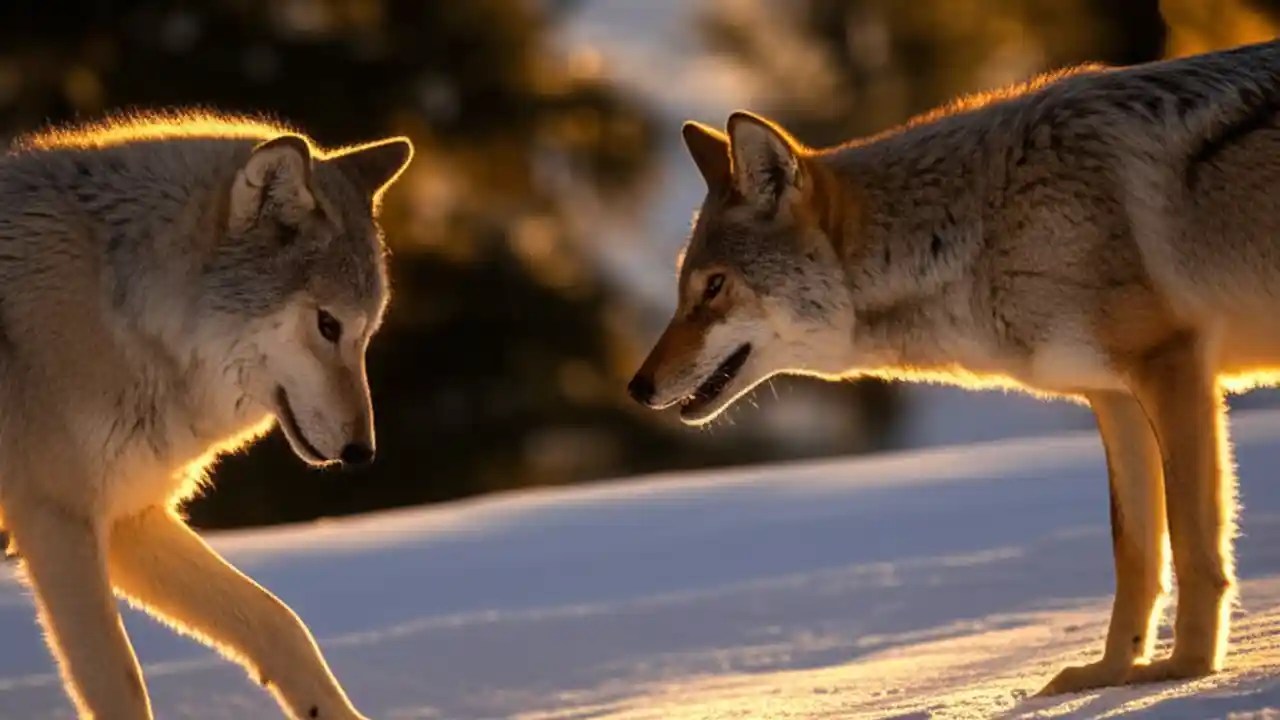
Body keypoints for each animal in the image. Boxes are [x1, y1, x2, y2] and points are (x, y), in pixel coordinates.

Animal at [0, 111, 412, 719]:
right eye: (328, 325)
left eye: (367, 333)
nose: (363, 453)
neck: (125, 318)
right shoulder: (55, 519)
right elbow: (118, 683)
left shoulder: (127, 516)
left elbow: (281, 621)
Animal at [626, 38, 1280, 694]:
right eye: (683, 291)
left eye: (713, 288)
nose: (637, 387)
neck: (987, 227)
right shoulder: (1114, 398)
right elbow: (1135, 551)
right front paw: (1111, 674)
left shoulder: (1170, 366)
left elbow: (1193, 542)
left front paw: (1186, 672)